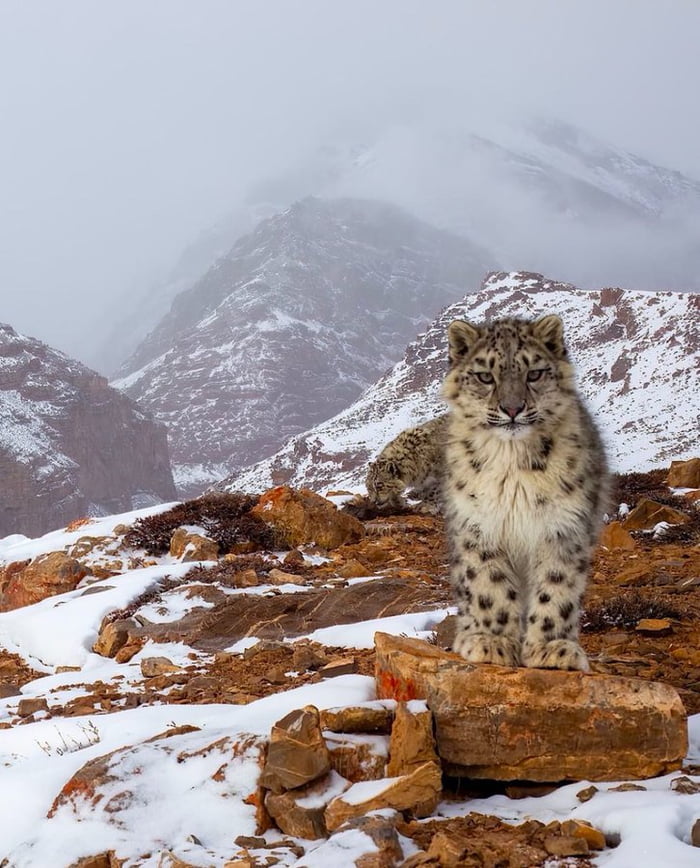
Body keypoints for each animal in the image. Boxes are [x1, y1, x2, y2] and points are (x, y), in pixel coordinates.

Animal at [442, 314, 608, 671]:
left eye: (534, 373)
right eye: (485, 376)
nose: (512, 408)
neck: (512, 466)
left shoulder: (563, 527)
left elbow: (556, 588)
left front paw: (552, 648)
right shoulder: (481, 525)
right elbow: (489, 587)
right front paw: (492, 642)